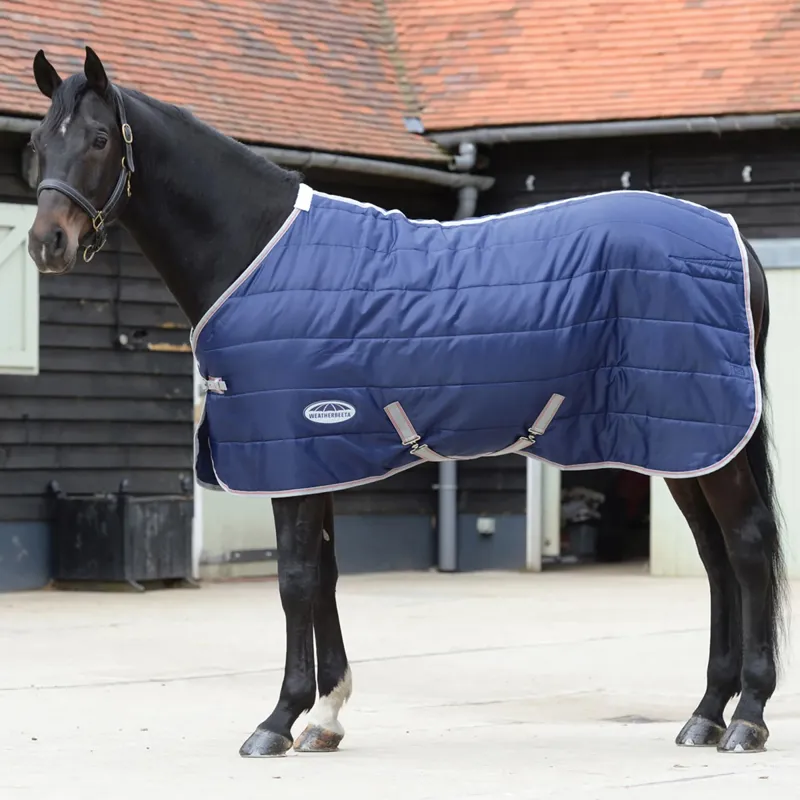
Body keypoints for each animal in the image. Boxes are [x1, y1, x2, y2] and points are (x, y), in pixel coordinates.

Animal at [26, 47, 787, 756]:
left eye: (99, 138)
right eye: (38, 142)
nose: (45, 243)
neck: (255, 251)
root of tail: (734, 239)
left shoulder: (293, 455)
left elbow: (295, 580)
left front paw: (278, 721)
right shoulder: (319, 458)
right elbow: (325, 579)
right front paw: (326, 717)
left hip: (705, 440)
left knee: (747, 546)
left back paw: (747, 717)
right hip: (683, 440)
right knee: (716, 558)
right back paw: (705, 713)